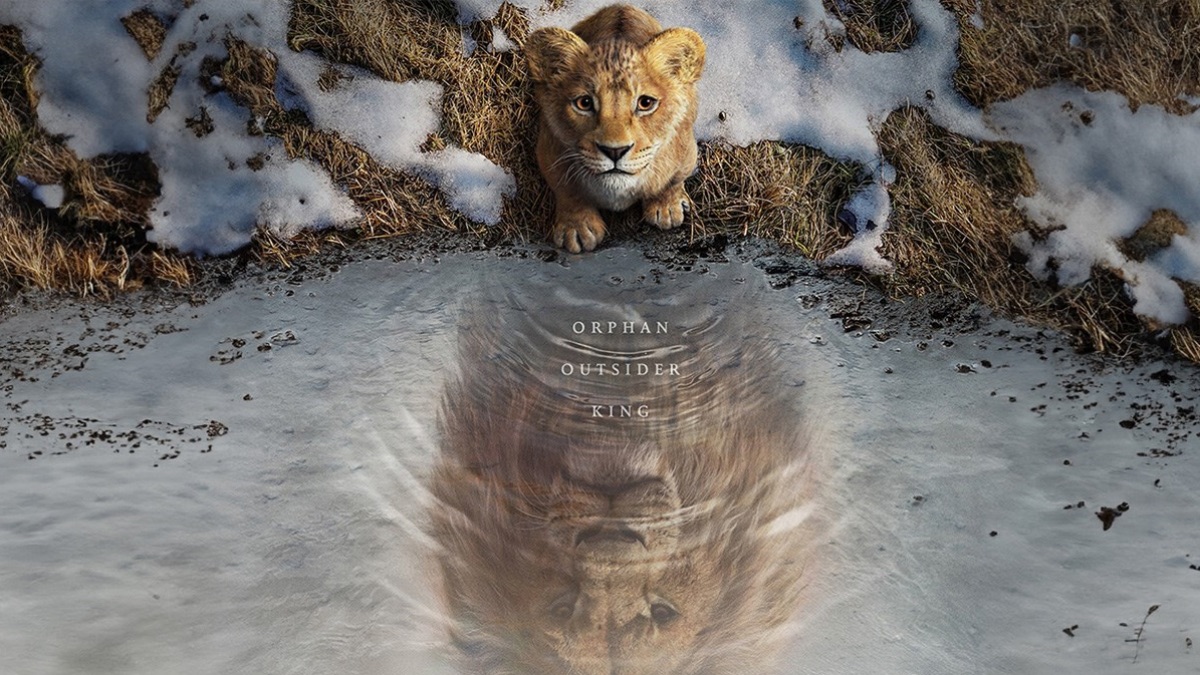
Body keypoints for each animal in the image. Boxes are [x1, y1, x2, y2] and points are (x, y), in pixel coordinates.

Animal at [525, 5, 706, 253]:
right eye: (584, 103)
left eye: (645, 103)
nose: (614, 151)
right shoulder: (549, 151)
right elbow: (567, 191)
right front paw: (577, 228)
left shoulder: (686, 152)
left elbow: (672, 181)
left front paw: (667, 208)